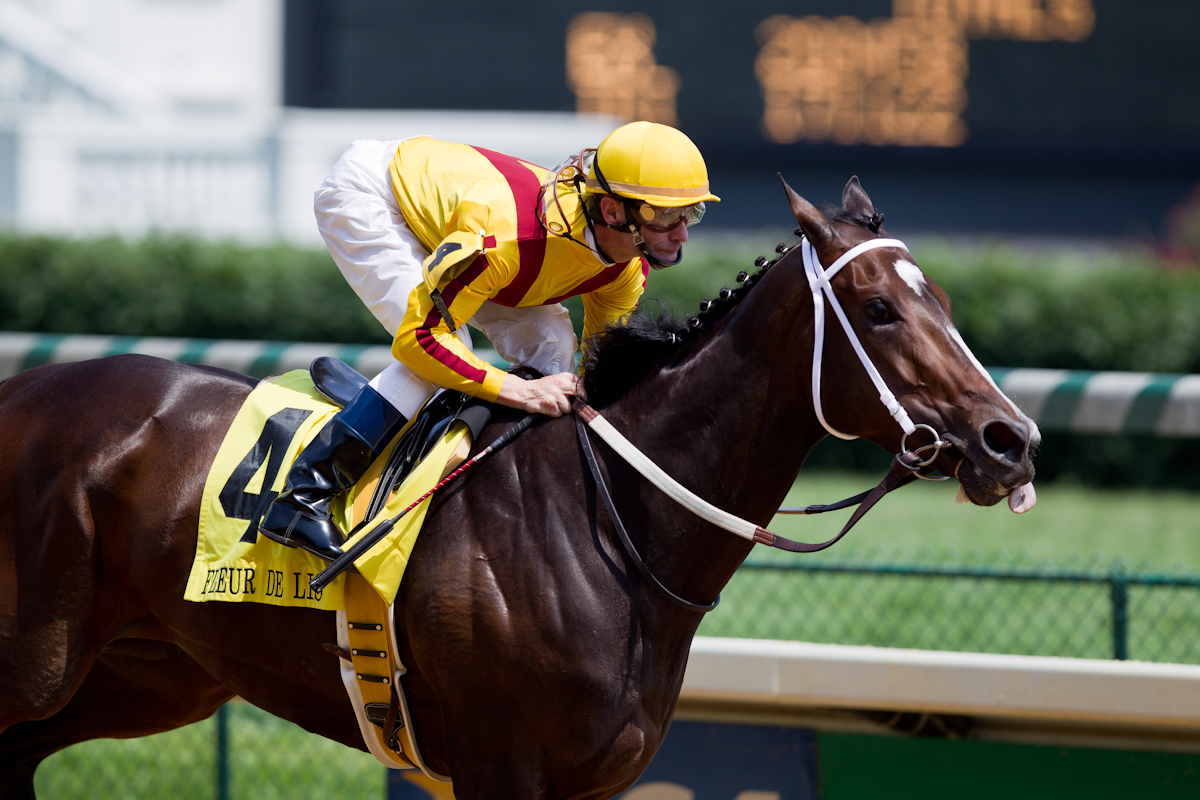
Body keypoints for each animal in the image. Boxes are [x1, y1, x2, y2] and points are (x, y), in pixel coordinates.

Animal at [0, 177, 1037, 799]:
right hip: (41, 662)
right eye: (879, 308)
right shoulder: (501, 771)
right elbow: (430, 325)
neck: (612, 528)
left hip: (147, 675)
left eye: (945, 302)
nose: (1011, 440)